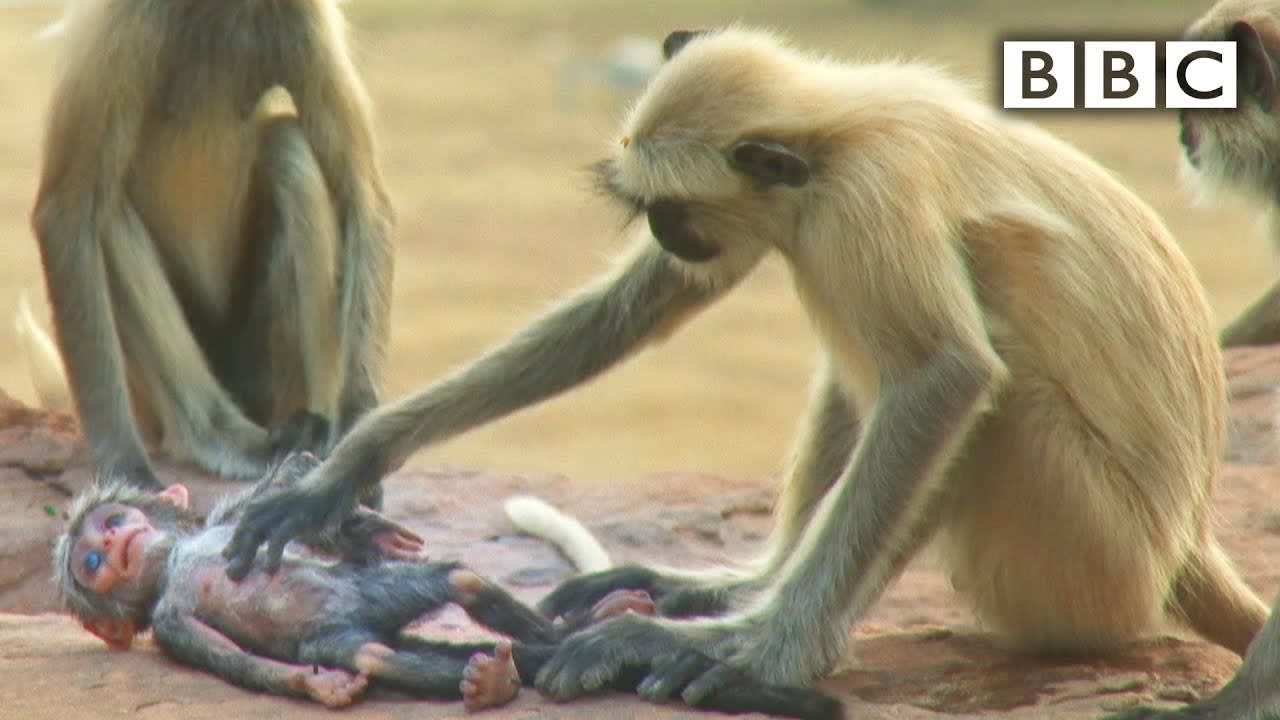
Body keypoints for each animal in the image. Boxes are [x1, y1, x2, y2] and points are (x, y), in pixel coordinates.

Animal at [30, 0, 394, 490]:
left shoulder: (306, 13)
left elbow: (364, 202)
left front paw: (358, 438)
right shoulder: (125, 15)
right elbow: (67, 211)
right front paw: (123, 467)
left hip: (268, 376)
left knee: (288, 148)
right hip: (147, 397)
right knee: (106, 213)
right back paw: (215, 435)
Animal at [55, 453, 843, 718]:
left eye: (114, 522)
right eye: (89, 564)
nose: (111, 545)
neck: (174, 561)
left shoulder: (220, 526)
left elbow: (277, 501)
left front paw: (362, 523)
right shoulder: (171, 619)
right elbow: (225, 654)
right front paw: (317, 689)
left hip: (378, 593)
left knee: (460, 580)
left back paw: (585, 633)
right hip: (344, 628)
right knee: (377, 653)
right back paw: (494, 681)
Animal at [220, 26, 1268, 707]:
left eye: (670, 211)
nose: (661, 233)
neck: (837, 129)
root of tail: (1182, 545)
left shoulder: (864, 196)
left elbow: (945, 378)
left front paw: (767, 652)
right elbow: (639, 307)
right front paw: (348, 465)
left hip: (1095, 560)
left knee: (981, 389)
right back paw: (733, 587)